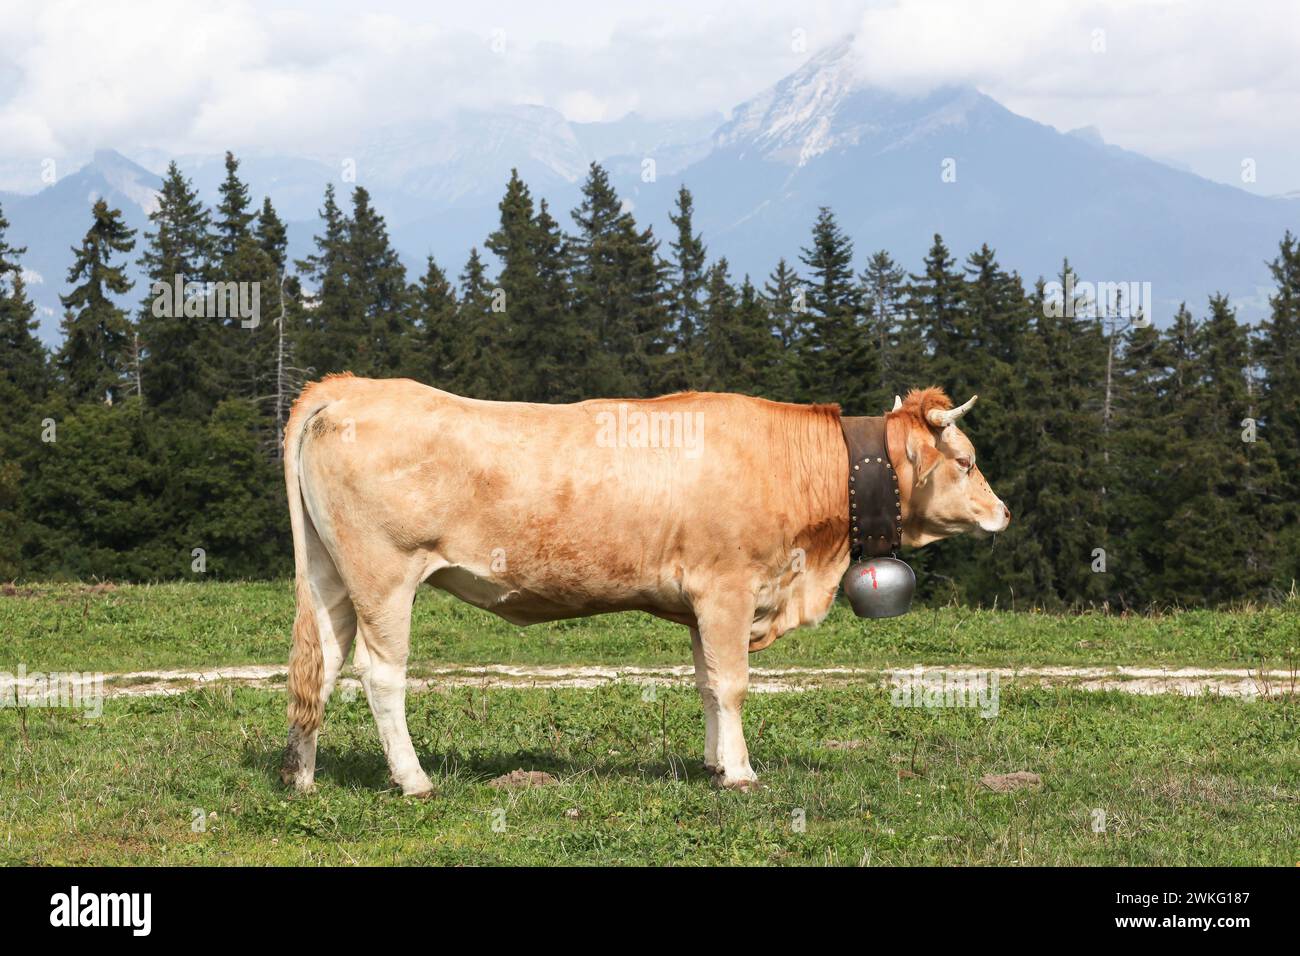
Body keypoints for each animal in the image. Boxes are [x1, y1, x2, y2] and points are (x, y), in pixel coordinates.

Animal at [279, 376, 1010, 795]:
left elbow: (707, 683)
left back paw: (303, 777)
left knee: (321, 665)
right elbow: (732, 683)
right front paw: (741, 774)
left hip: (331, 576)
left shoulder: (703, 605)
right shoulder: (726, 588)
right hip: (384, 573)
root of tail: (349, 386)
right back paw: (413, 780)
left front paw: (715, 763)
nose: (1004, 512)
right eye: (966, 461)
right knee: (379, 672)